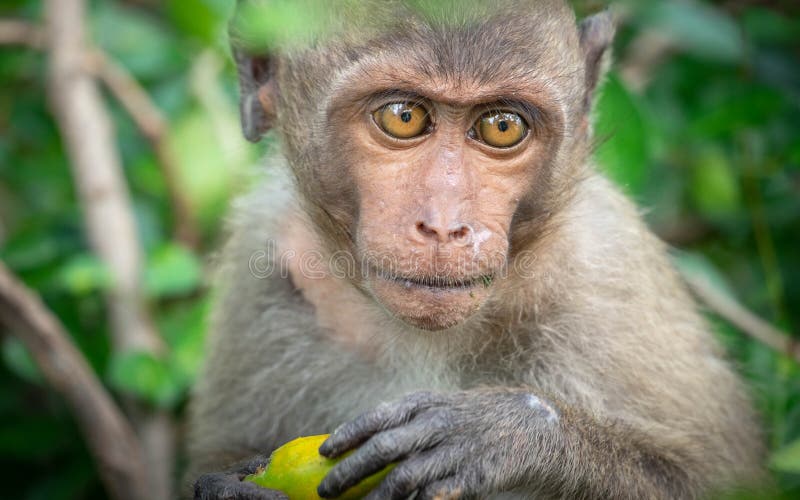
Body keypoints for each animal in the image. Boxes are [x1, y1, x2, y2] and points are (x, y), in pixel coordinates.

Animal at [187, 1, 764, 498]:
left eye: (501, 126)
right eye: (403, 117)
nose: (445, 226)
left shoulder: (611, 268)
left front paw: (509, 433)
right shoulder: (265, 254)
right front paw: (233, 487)